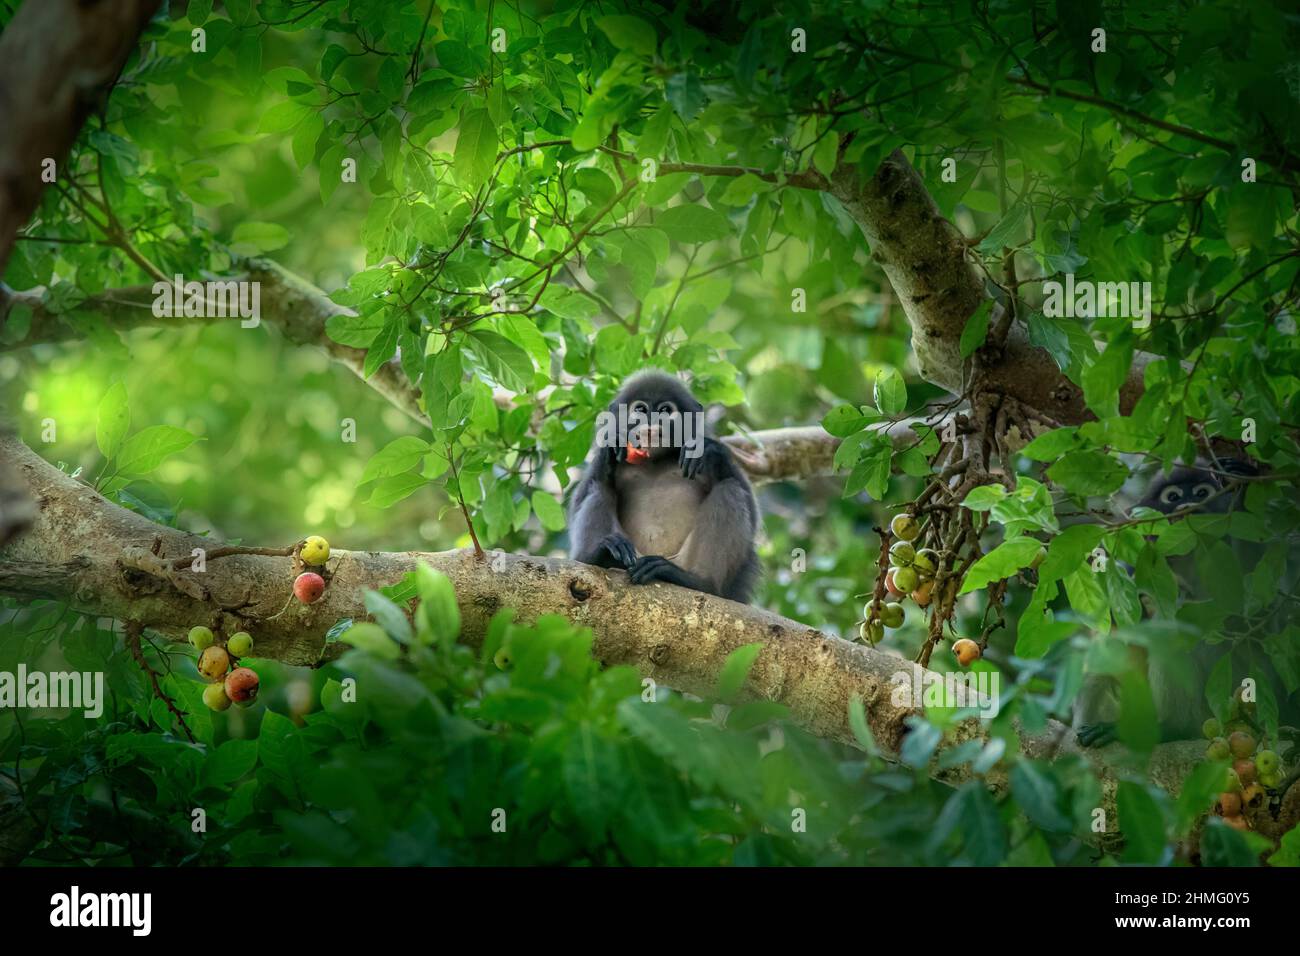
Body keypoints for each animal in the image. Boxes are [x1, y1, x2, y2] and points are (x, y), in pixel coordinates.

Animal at [567, 371, 760, 604]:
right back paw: (600, 555)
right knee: (600, 490)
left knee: (730, 489)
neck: (655, 463)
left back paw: (697, 580)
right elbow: (580, 499)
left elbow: (751, 509)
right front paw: (612, 446)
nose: (652, 420)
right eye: (641, 409)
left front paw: (709, 450)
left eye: (665, 410)